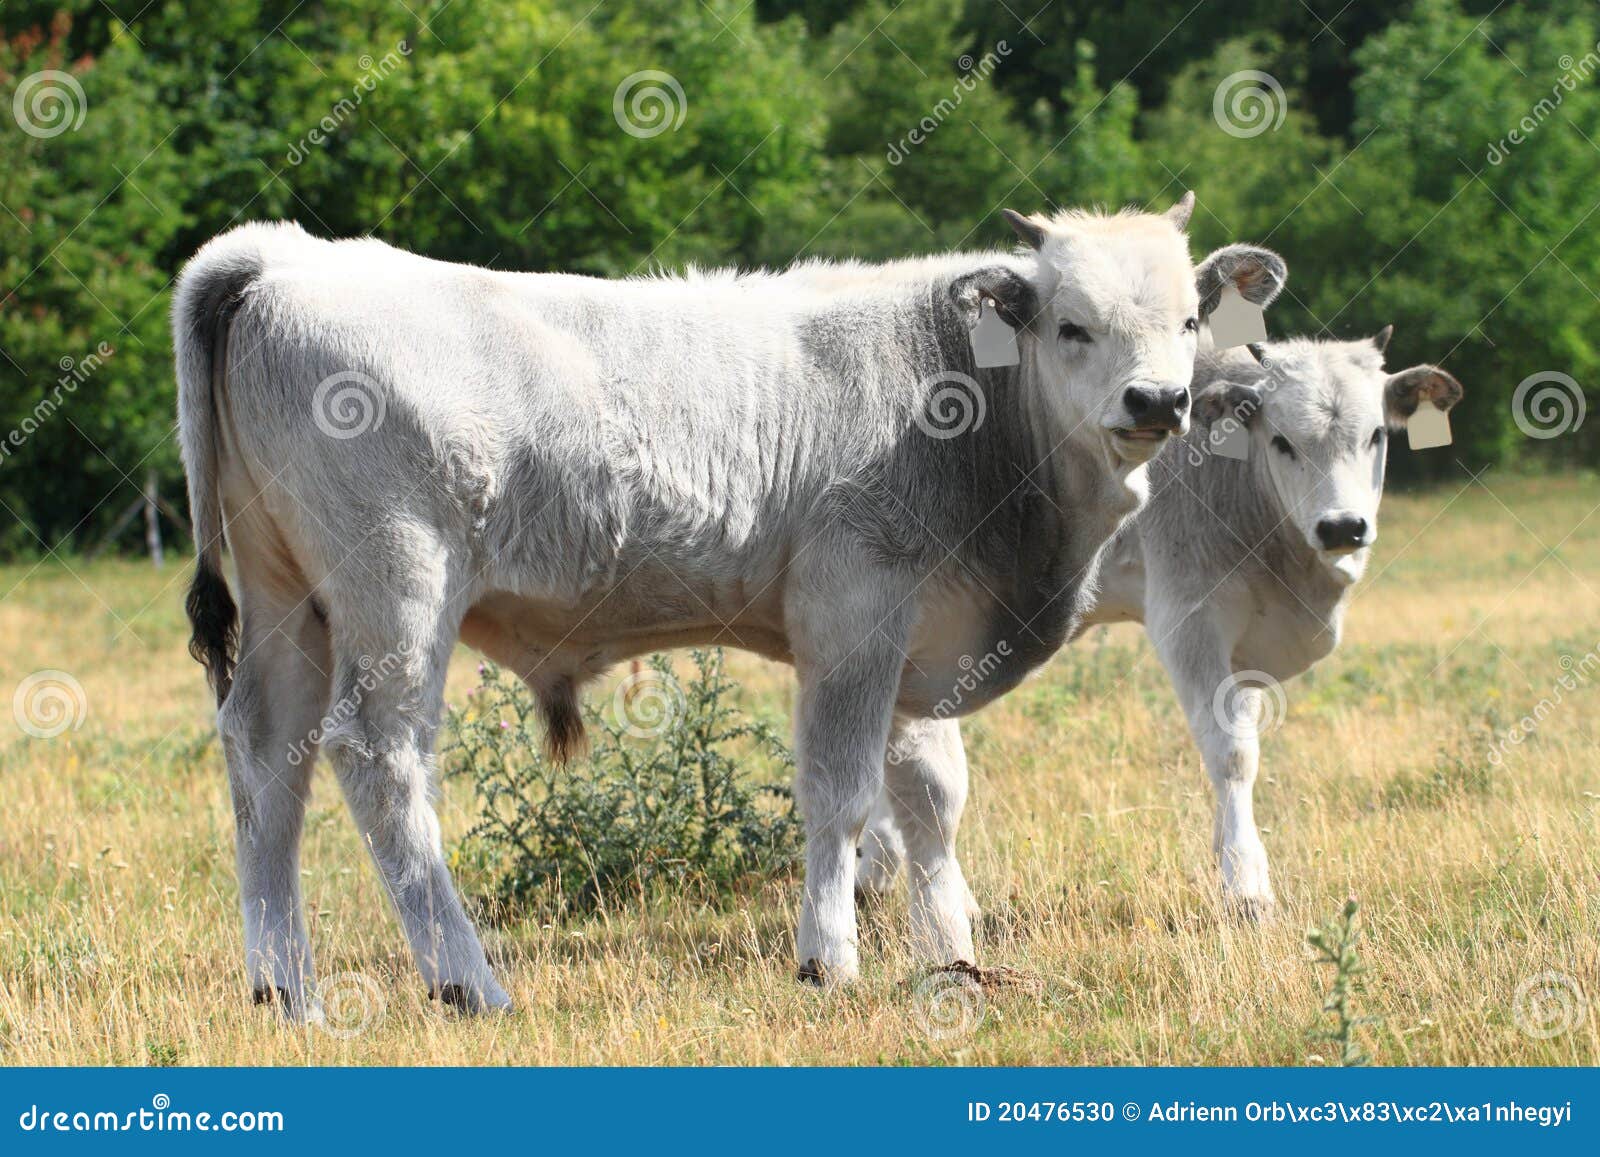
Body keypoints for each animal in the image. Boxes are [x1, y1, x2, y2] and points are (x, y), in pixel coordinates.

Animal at [173, 196, 1285, 1015]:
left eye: (1188, 319)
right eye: (1070, 325)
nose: (1159, 401)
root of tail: (280, 257)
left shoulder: (920, 635)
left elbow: (928, 794)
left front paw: (953, 950)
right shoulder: (852, 613)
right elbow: (841, 792)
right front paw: (828, 958)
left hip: (289, 601)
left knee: (266, 757)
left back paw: (286, 991)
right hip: (398, 586)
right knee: (378, 756)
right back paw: (468, 981)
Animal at [857, 331, 1464, 922]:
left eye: (1376, 436)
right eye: (1282, 442)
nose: (1342, 527)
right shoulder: (1189, 619)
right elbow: (1232, 753)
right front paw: (1246, 887)